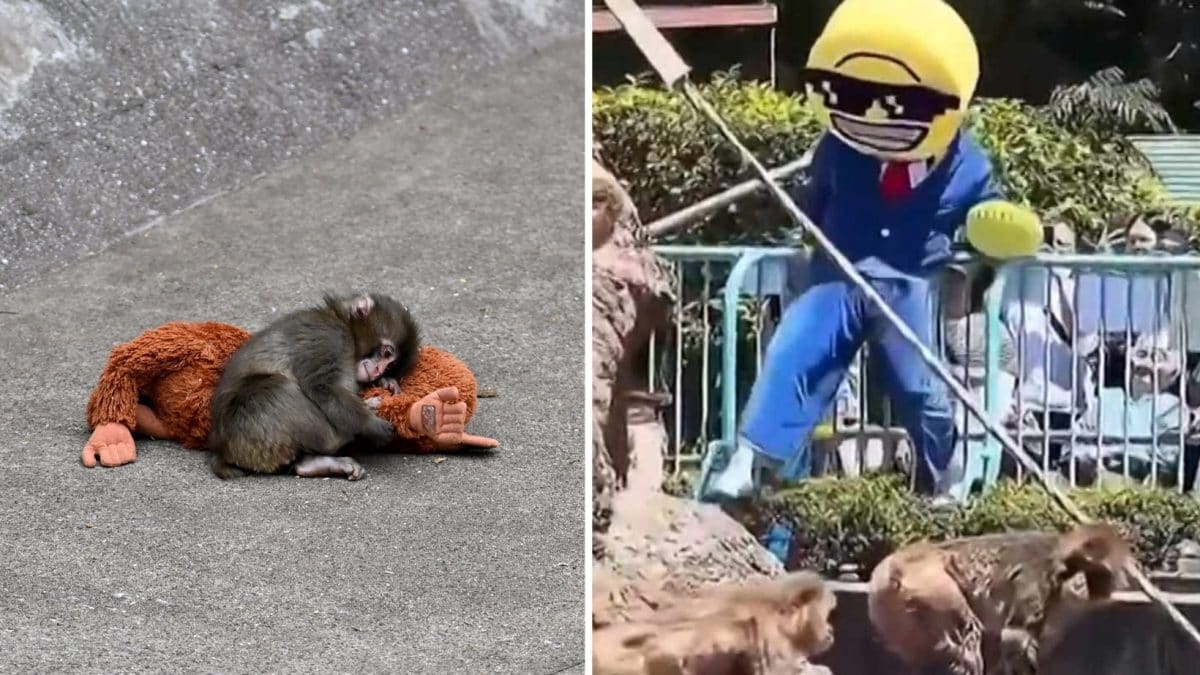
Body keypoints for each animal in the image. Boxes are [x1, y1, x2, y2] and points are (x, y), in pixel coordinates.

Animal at [208, 291, 420, 481]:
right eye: (386, 353)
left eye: (390, 365)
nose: (378, 371)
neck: (344, 325)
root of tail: (222, 450)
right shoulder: (329, 337)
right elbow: (322, 387)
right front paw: (371, 424)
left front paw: (386, 382)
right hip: (249, 428)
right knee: (278, 388)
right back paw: (342, 436)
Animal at [867, 523, 1129, 675]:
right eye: (1089, 570)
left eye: (1101, 576)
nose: (1085, 586)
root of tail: (891, 566)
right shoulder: (1037, 577)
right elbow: (1015, 637)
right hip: (927, 583)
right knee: (965, 636)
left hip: (889, 606)